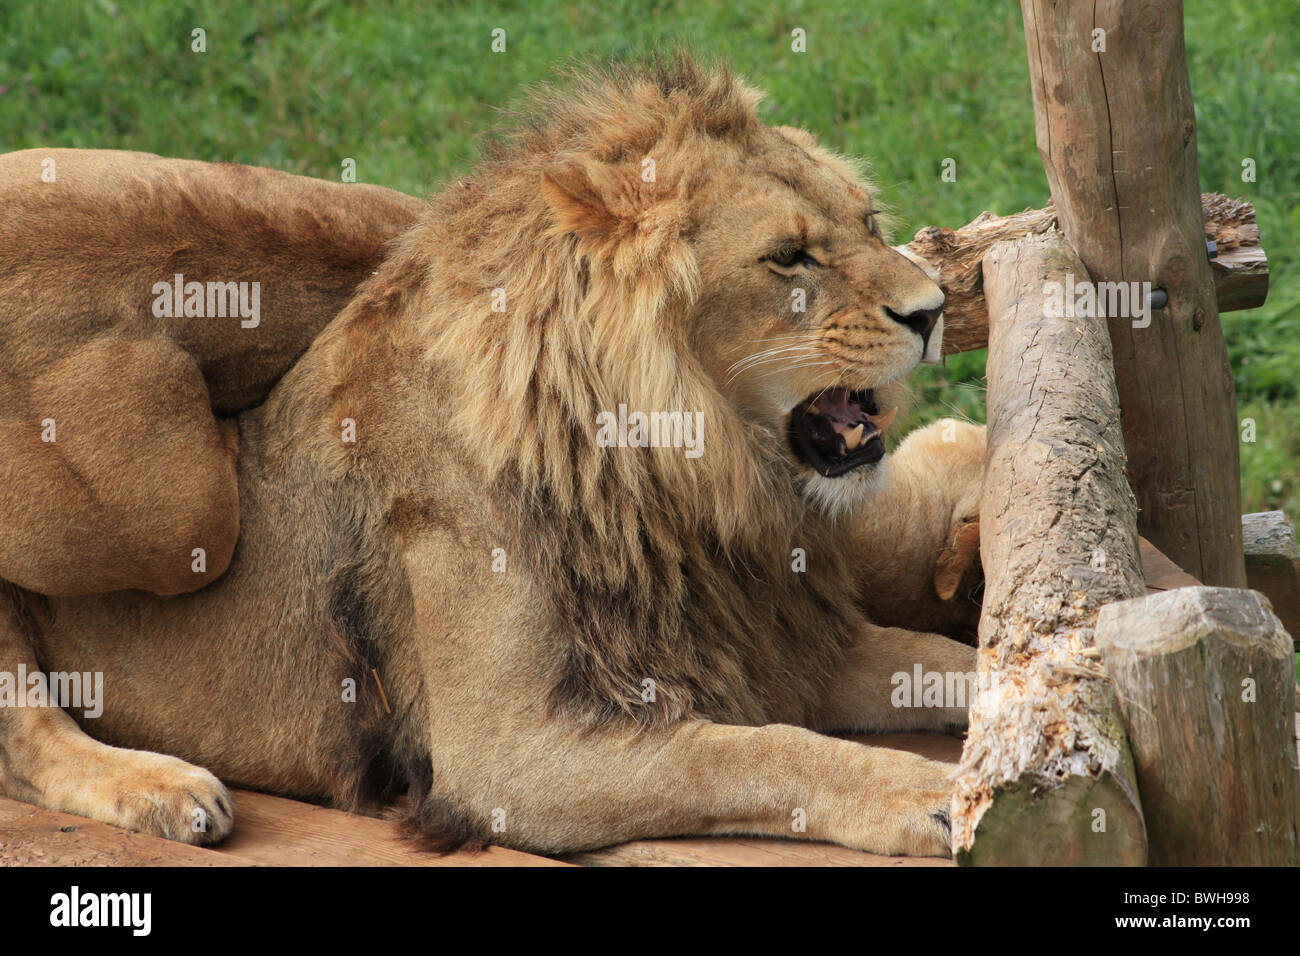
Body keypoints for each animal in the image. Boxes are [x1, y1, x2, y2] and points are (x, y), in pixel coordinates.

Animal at [0, 56, 985, 858]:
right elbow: (762, 756)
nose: (935, 308)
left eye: (869, 221)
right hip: (166, 513)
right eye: (788, 257)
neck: (690, 487)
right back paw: (168, 790)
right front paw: (929, 792)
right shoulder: (512, 759)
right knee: (28, 736)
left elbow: (936, 661)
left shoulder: (768, 647)